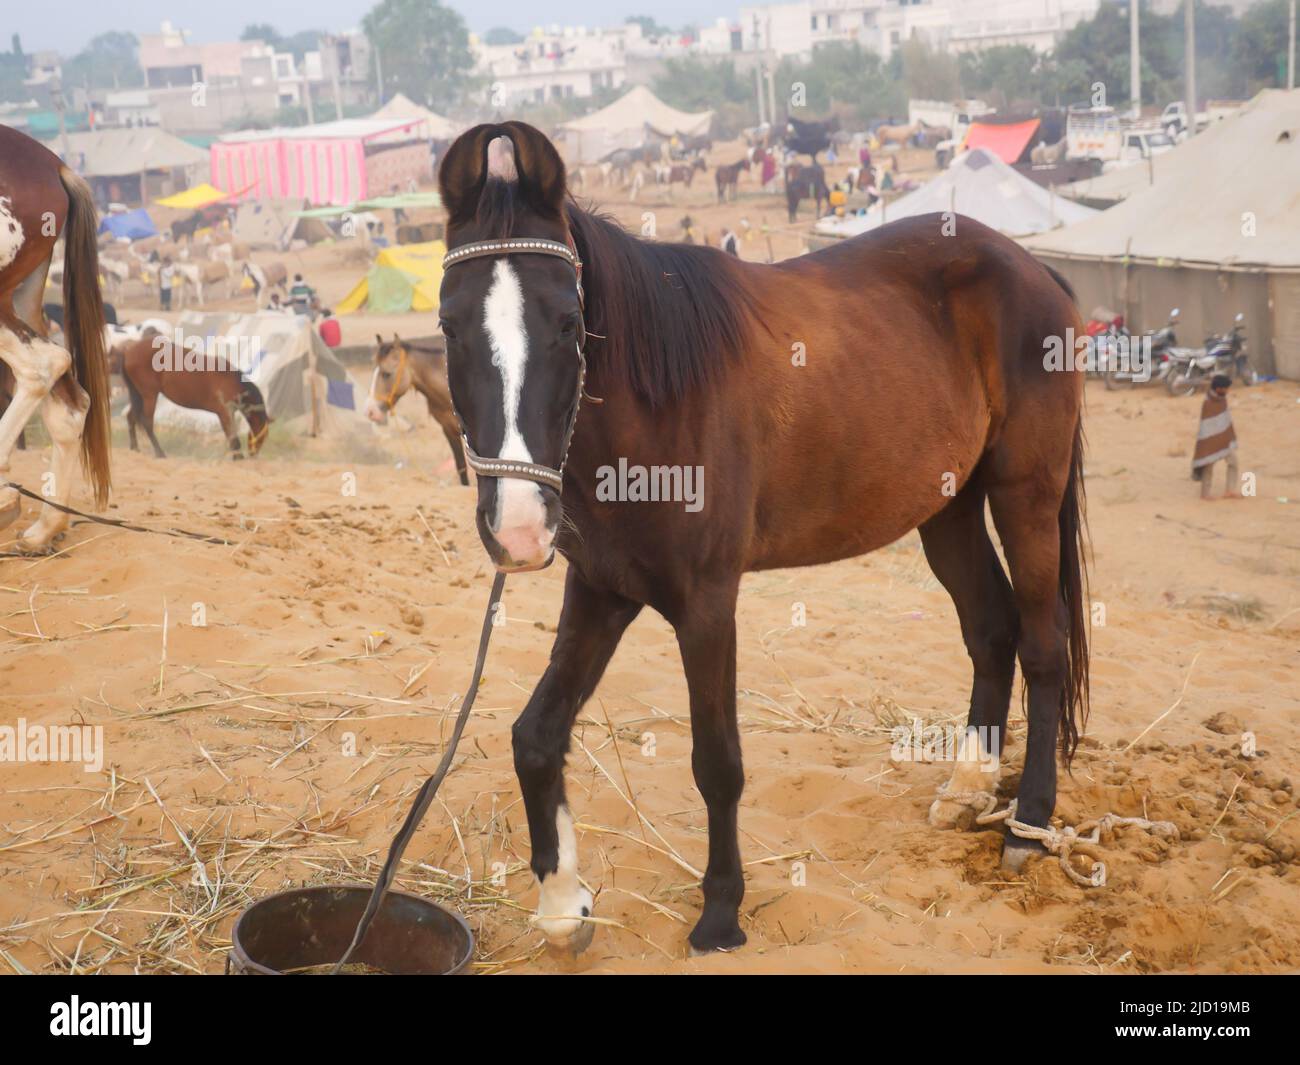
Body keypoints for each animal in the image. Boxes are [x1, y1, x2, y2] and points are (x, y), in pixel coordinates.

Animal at [117, 328, 270, 459]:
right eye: (264, 435)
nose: (254, 454)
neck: (233, 381)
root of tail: (129, 351)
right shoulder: (225, 412)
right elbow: (233, 438)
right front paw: (238, 458)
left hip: (138, 395)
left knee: (131, 417)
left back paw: (135, 448)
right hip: (149, 395)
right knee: (147, 422)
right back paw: (159, 453)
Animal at [434, 121, 1089, 956]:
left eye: (567, 323)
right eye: (449, 325)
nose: (518, 527)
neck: (659, 403)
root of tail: (1031, 266)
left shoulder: (708, 604)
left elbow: (717, 761)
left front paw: (721, 912)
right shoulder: (604, 589)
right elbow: (536, 735)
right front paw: (562, 903)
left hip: (1025, 494)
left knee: (1042, 643)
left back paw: (1029, 821)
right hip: (947, 511)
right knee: (991, 627)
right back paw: (968, 786)